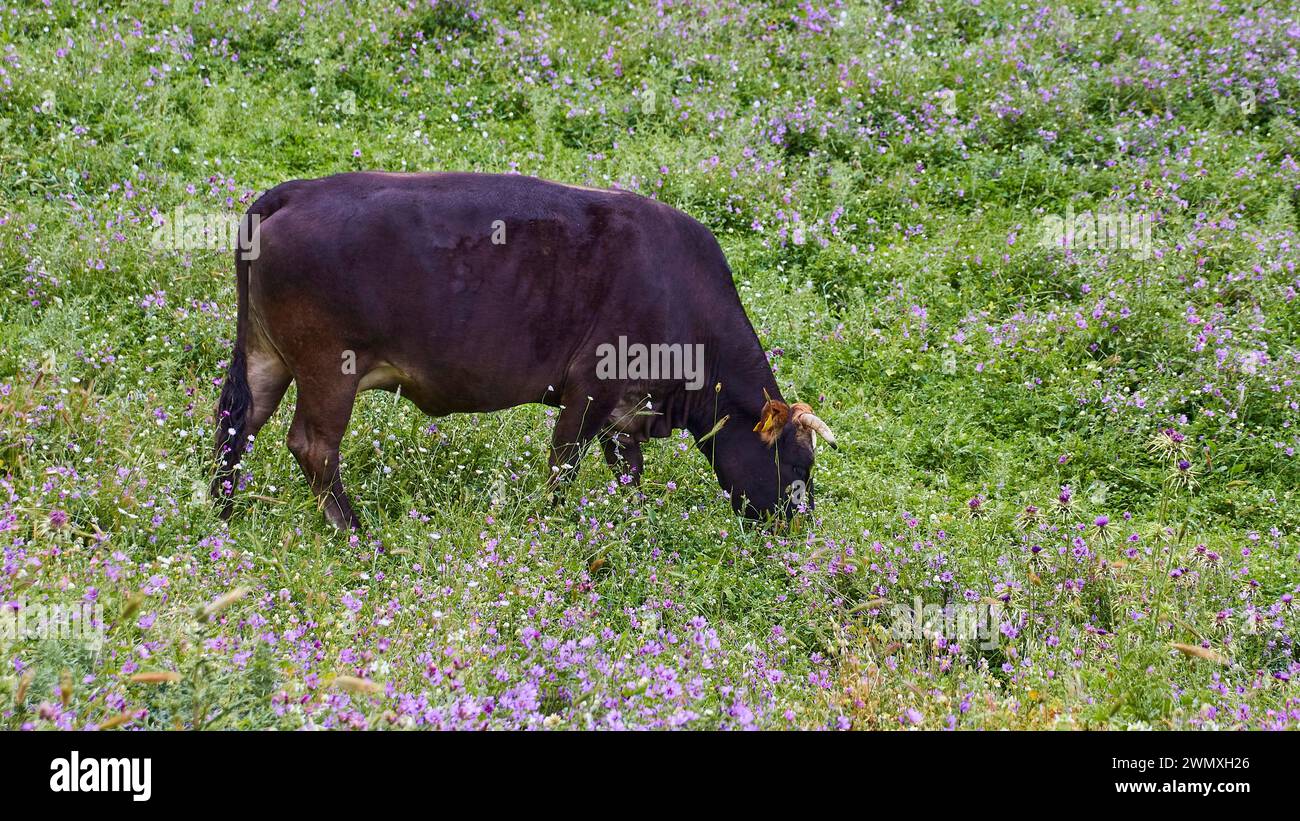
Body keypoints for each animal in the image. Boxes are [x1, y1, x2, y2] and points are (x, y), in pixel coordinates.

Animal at [211, 172, 837, 528]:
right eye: (795, 464)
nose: (797, 529)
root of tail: (294, 192)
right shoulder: (592, 387)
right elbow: (563, 464)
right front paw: (551, 525)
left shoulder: (628, 407)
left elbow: (628, 472)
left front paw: (631, 521)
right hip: (328, 366)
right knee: (311, 445)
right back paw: (352, 529)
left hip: (266, 354)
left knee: (237, 422)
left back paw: (223, 512)